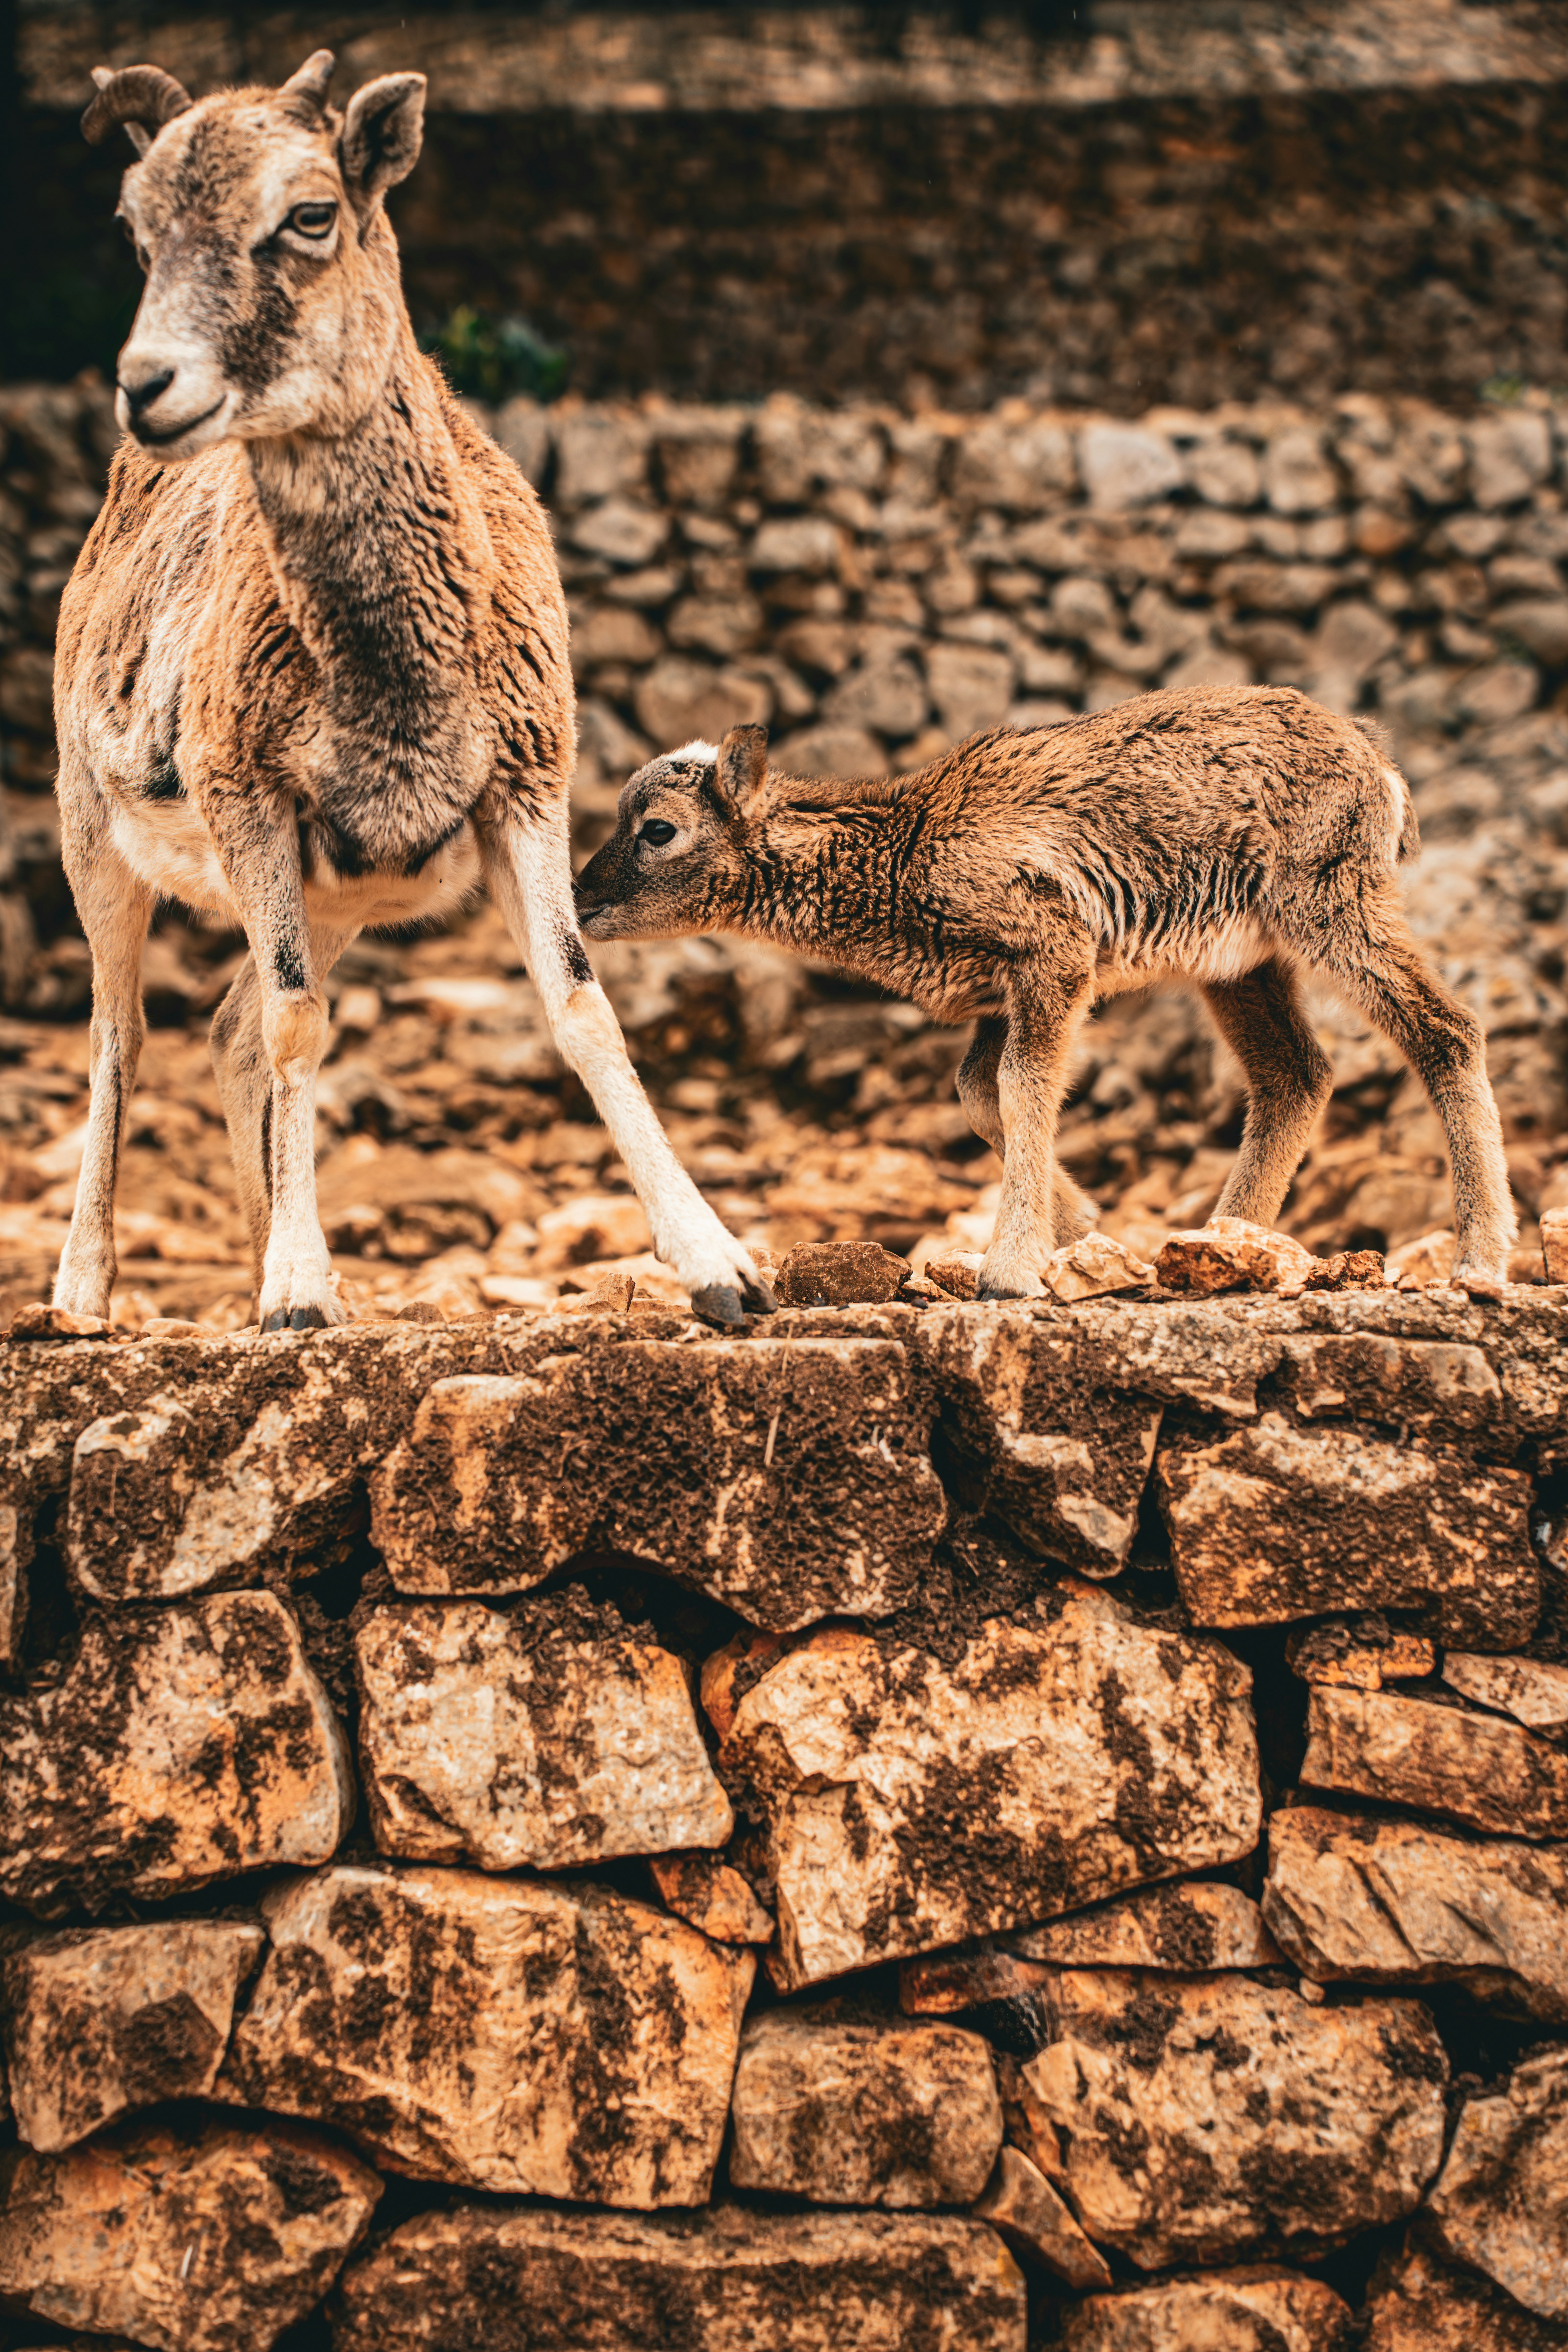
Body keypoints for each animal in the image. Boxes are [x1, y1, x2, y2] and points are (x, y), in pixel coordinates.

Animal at [48, 50, 772, 1332]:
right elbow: (298, 1025)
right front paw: (296, 1291)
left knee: (229, 1030)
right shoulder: (247, 797)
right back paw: (88, 1287)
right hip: (95, 831)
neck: (397, 683)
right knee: (122, 1027)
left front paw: (723, 1270)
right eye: (136, 228)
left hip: (331, 900)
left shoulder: (523, 789)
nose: (150, 385)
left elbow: (581, 1009)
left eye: (310, 213)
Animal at [574, 690, 1517, 1299]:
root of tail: (1375, 760)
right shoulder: (1003, 997)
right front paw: (1087, 1233)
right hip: (1241, 966)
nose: (579, 901)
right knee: (1294, 1076)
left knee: (1445, 1029)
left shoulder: (1053, 956)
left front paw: (1011, 1272)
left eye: (657, 831)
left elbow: (1023, 1089)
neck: (903, 851)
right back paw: (1215, 1248)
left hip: (1330, 911)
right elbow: (979, 1094)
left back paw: (1479, 1261)